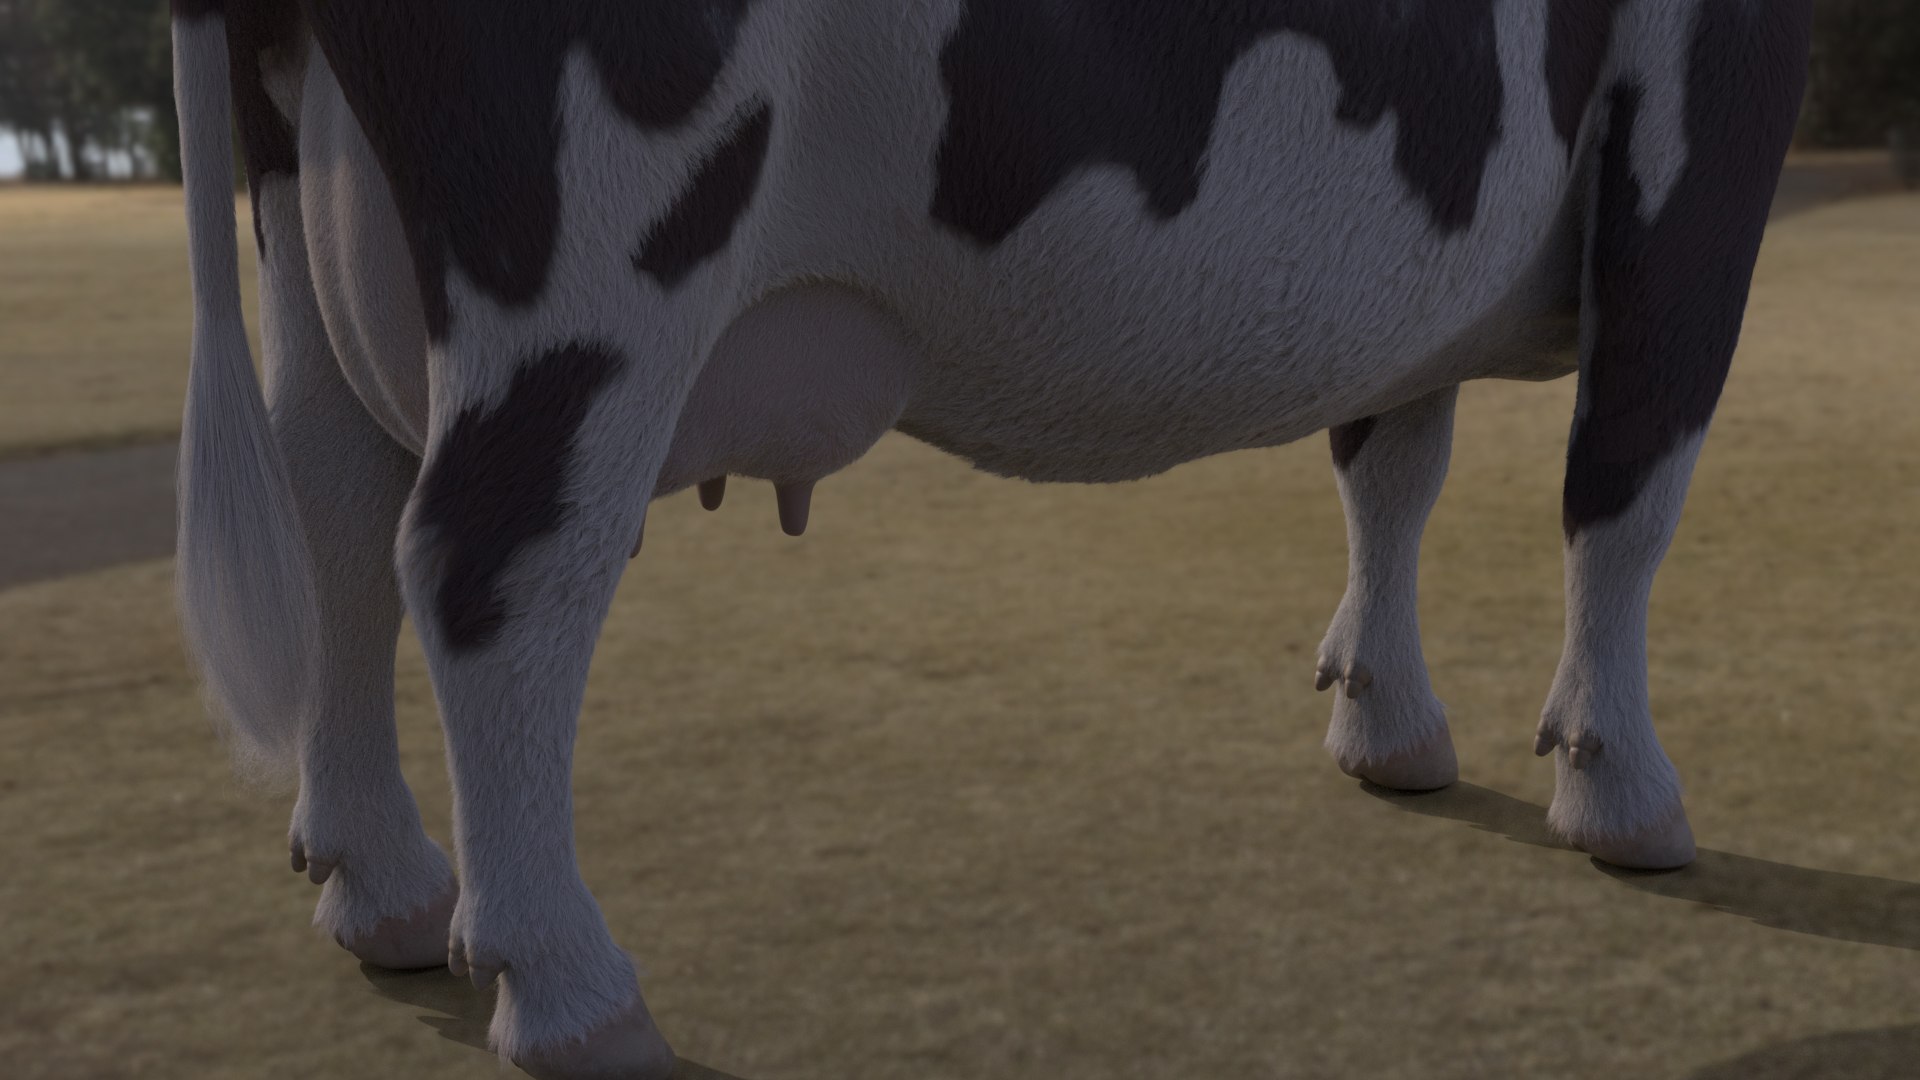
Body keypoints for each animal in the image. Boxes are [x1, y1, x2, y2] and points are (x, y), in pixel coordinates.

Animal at [168, 1, 1812, 1076]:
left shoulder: (1423, 260)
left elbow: (1392, 461)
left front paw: (1389, 723)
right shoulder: (1704, 123)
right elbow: (1629, 480)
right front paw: (1621, 789)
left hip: (306, 223)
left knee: (336, 518)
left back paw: (380, 888)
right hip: (591, 250)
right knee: (489, 561)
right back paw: (572, 995)